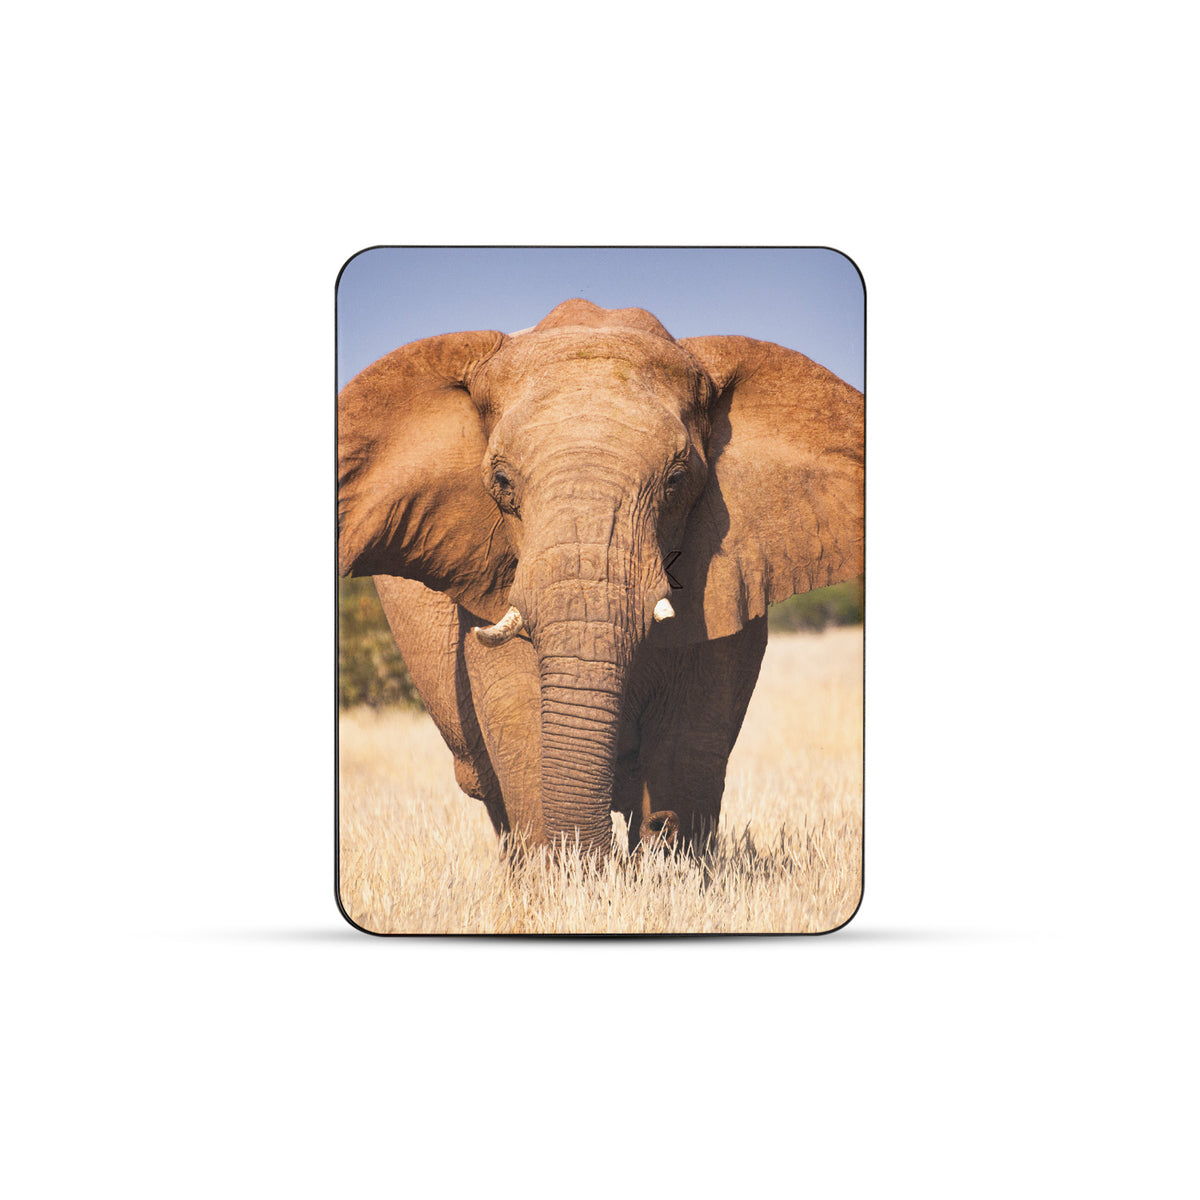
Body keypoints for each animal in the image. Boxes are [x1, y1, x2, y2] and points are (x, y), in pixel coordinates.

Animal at [337, 298, 863, 855]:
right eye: (500, 482)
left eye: (676, 482)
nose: (654, 830)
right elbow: (520, 717)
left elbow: (690, 737)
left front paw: (666, 855)